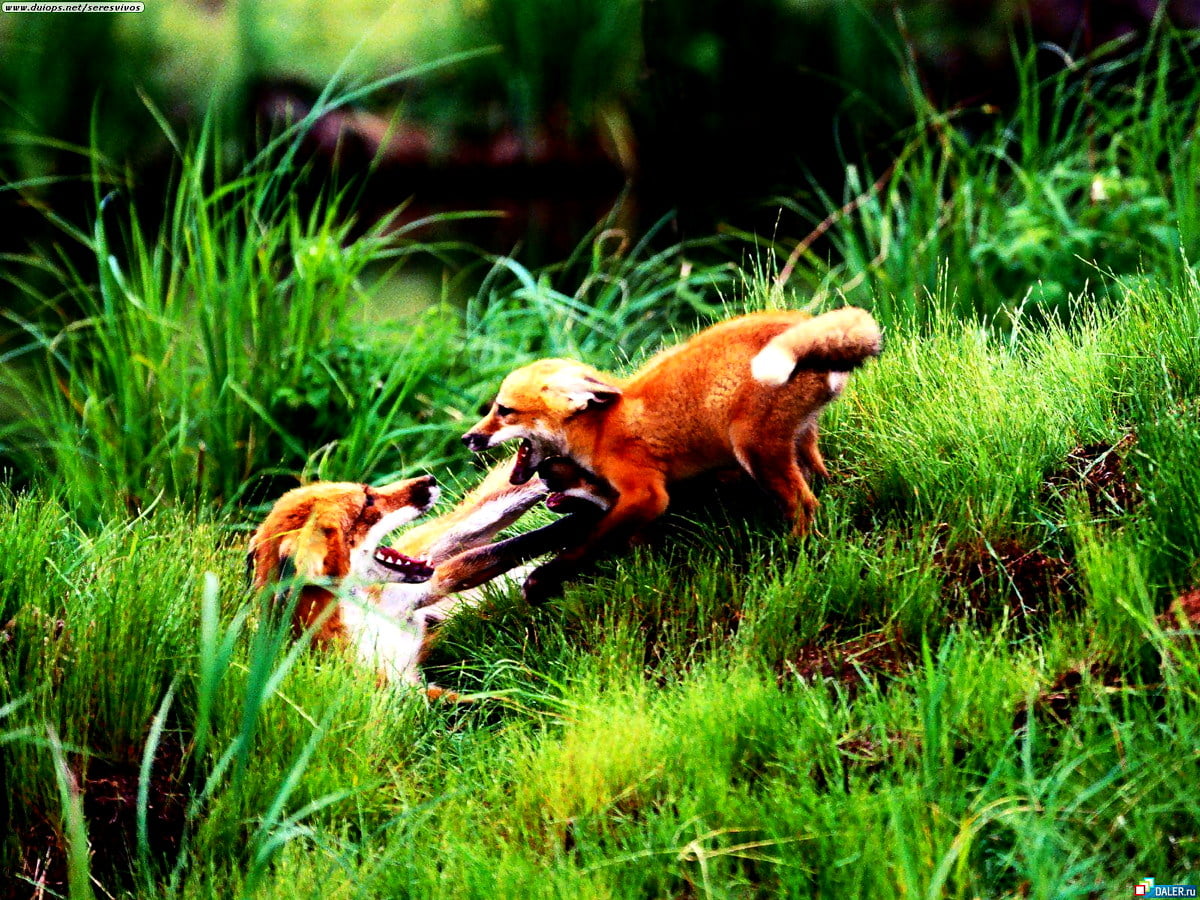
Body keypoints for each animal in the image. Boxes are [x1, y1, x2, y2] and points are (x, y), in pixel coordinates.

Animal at [247, 457, 609, 691]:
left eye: (367, 489)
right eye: (368, 502)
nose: (429, 480)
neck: (365, 618)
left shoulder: (415, 594)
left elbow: (514, 545)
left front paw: (575, 526)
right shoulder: (401, 692)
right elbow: (490, 700)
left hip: (450, 538)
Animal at [462, 305, 882, 600]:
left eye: (503, 410)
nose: (468, 438)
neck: (598, 430)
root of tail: (799, 321)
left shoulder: (646, 493)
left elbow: (592, 539)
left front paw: (543, 580)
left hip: (754, 450)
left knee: (805, 506)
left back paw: (796, 555)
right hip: (799, 443)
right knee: (821, 485)